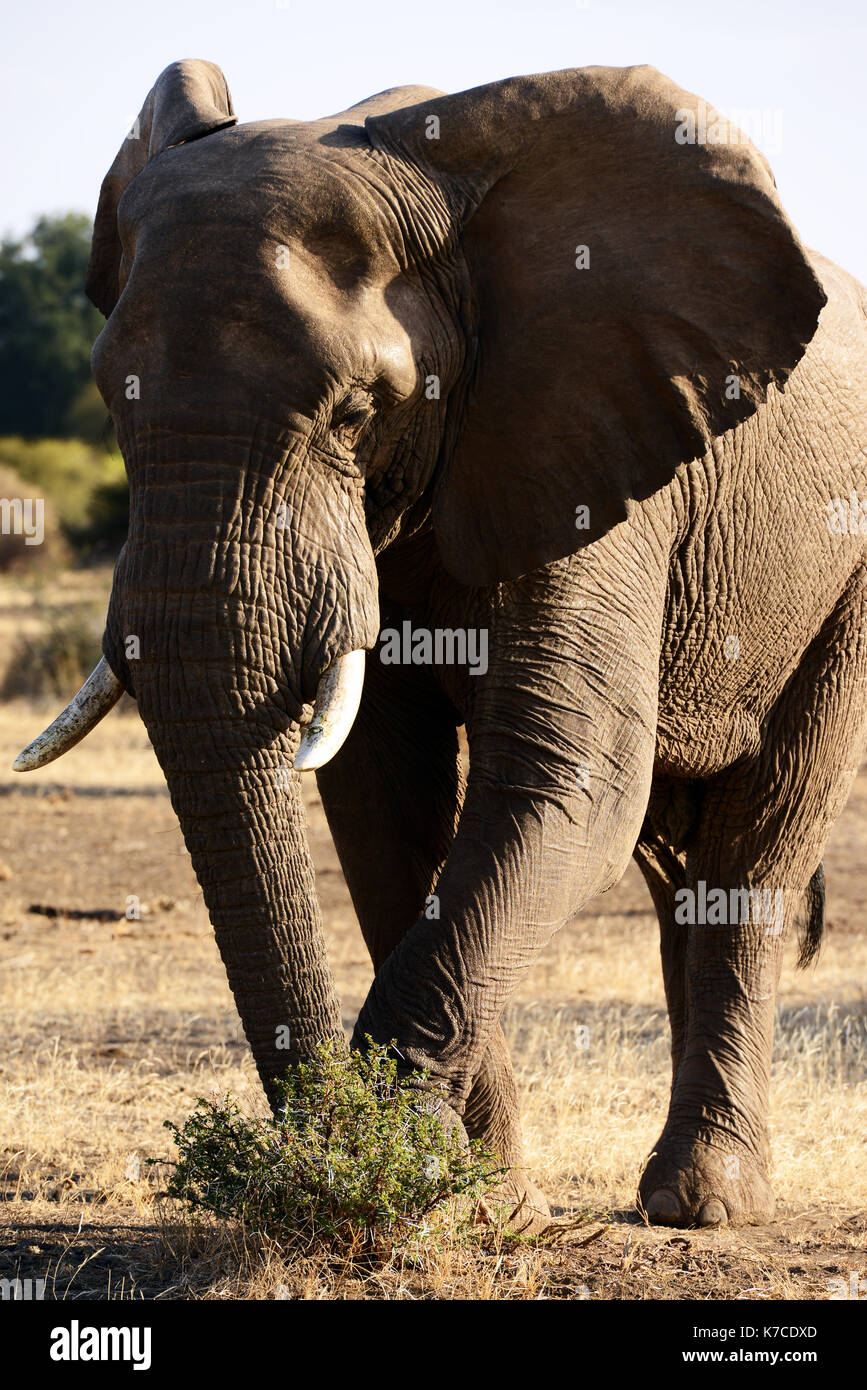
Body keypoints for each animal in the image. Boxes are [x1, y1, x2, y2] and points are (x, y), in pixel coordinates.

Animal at [16, 59, 867, 1231]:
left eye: (353, 412)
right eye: (110, 400)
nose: (313, 1160)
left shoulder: (591, 452)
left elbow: (567, 780)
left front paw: (408, 1179)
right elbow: (383, 801)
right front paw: (478, 1200)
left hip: (845, 577)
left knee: (759, 840)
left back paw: (702, 1204)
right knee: (676, 871)